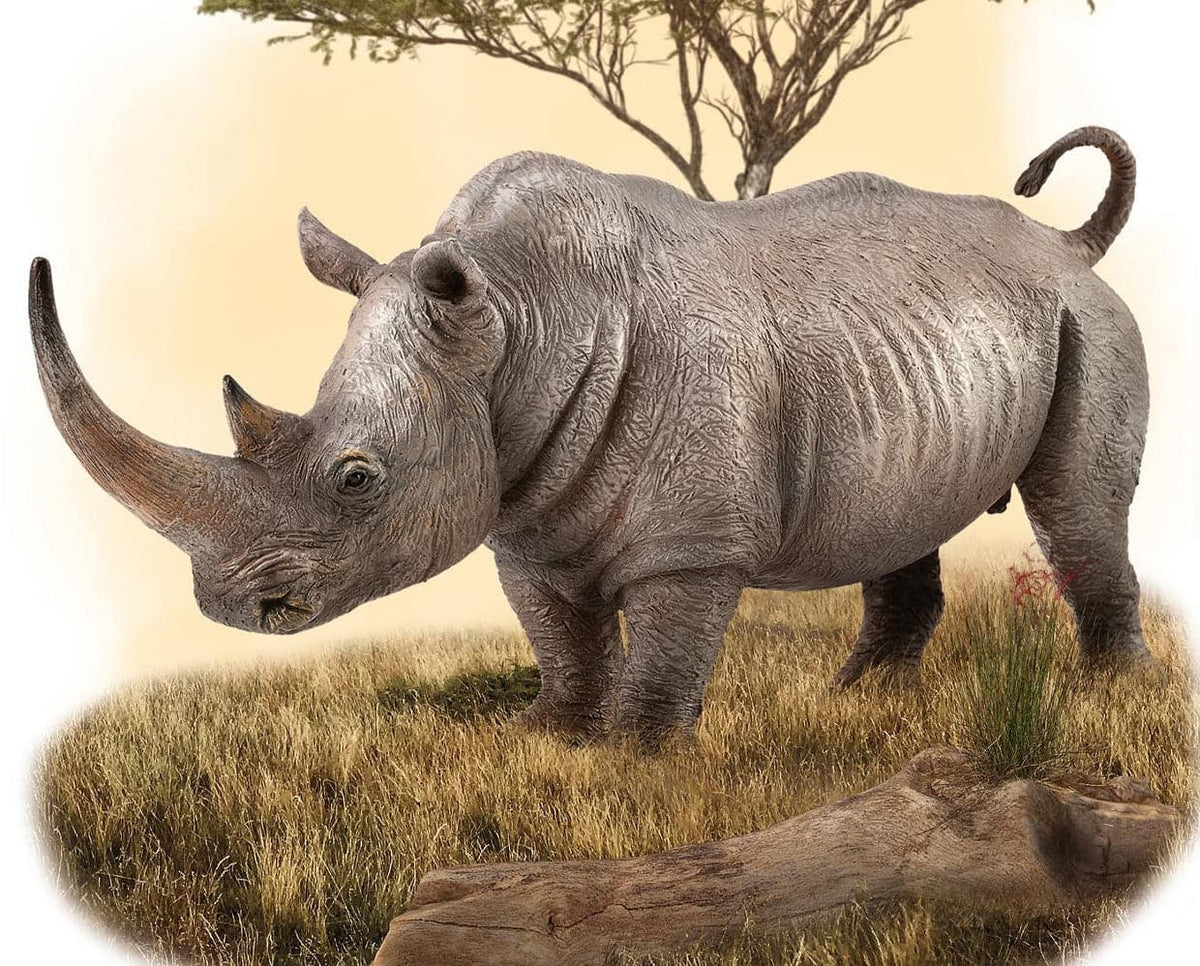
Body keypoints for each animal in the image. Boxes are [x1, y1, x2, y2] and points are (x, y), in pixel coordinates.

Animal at [30, 125, 1151, 741]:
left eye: (356, 478)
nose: (229, 606)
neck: (516, 321)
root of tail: (1064, 243)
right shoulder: (518, 510)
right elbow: (555, 629)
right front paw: (549, 734)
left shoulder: (691, 545)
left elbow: (667, 639)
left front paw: (641, 756)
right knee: (901, 516)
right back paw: (856, 702)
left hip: (1085, 322)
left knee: (1073, 510)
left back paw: (1108, 698)